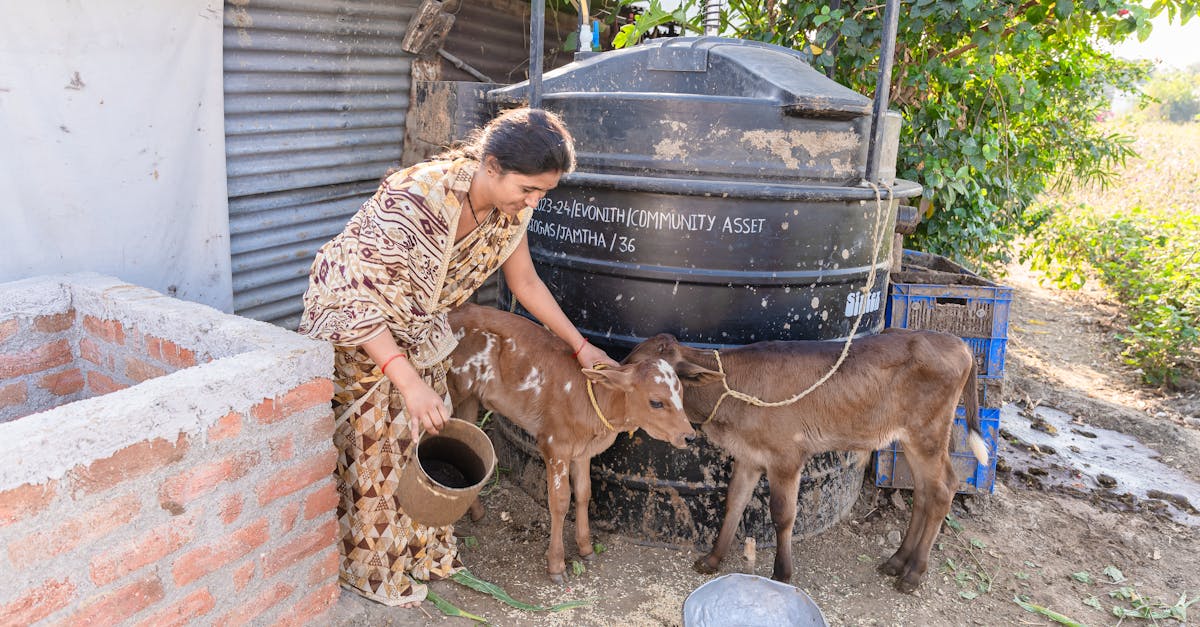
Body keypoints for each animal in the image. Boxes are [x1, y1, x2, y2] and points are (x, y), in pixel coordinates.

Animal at [448, 302, 710, 581]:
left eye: (681, 392)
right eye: (656, 402)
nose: (688, 435)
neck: (590, 400)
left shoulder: (583, 452)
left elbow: (584, 493)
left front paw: (586, 548)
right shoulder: (554, 445)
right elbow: (560, 501)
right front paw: (556, 564)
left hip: (470, 399)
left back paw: (477, 512)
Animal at [624, 326, 988, 590]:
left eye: (659, 382)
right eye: (628, 361)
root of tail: (959, 343)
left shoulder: (786, 456)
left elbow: (783, 515)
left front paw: (782, 574)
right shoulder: (749, 456)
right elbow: (734, 503)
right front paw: (713, 560)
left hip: (928, 434)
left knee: (944, 489)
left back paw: (913, 575)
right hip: (910, 439)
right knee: (924, 493)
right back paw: (897, 562)